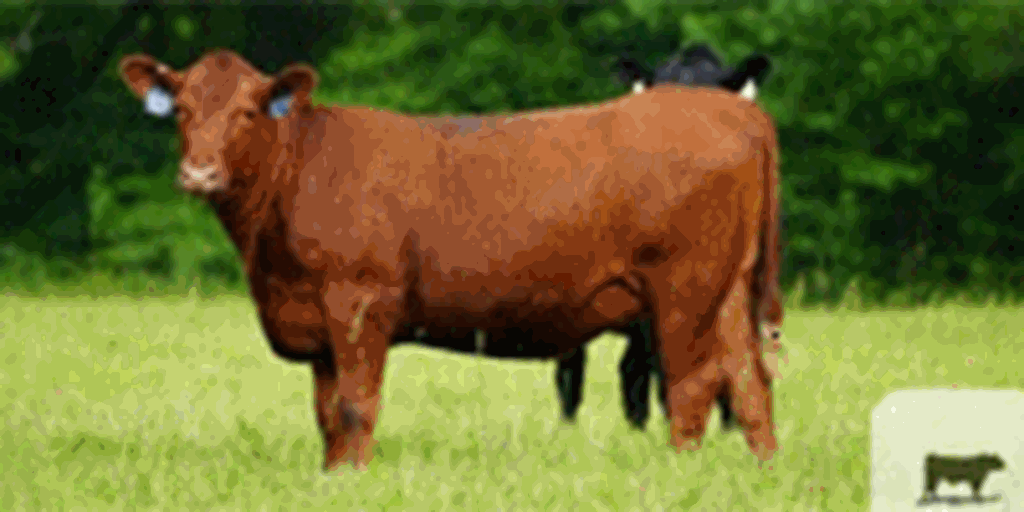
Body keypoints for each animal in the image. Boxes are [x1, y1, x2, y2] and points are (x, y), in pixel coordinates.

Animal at [118, 49, 783, 471]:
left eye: (247, 111)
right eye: (182, 111)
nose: (199, 173)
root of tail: (733, 110)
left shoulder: (359, 299)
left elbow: (355, 406)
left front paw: (354, 480)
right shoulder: (316, 318)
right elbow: (326, 412)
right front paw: (331, 477)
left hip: (684, 289)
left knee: (694, 384)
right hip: (728, 287)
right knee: (750, 380)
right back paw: (765, 470)